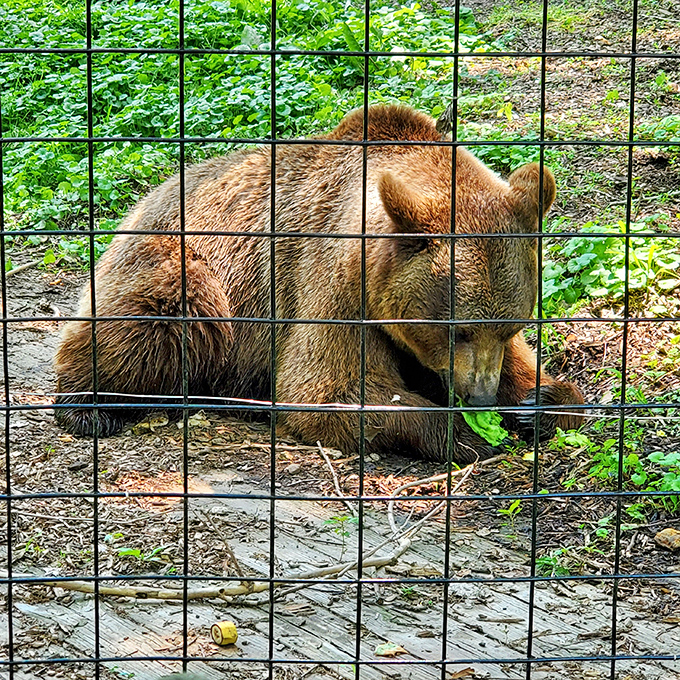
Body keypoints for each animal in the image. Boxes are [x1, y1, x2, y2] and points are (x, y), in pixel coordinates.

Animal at [53, 105, 584, 462]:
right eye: (458, 331)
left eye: (511, 327)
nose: (480, 397)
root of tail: (140, 204)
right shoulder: (333, 284)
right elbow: (325, 389)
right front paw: (466, 433)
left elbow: (536, 377)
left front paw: (537, 402)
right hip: (181, 264)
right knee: (162, 318)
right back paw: (90, 407)